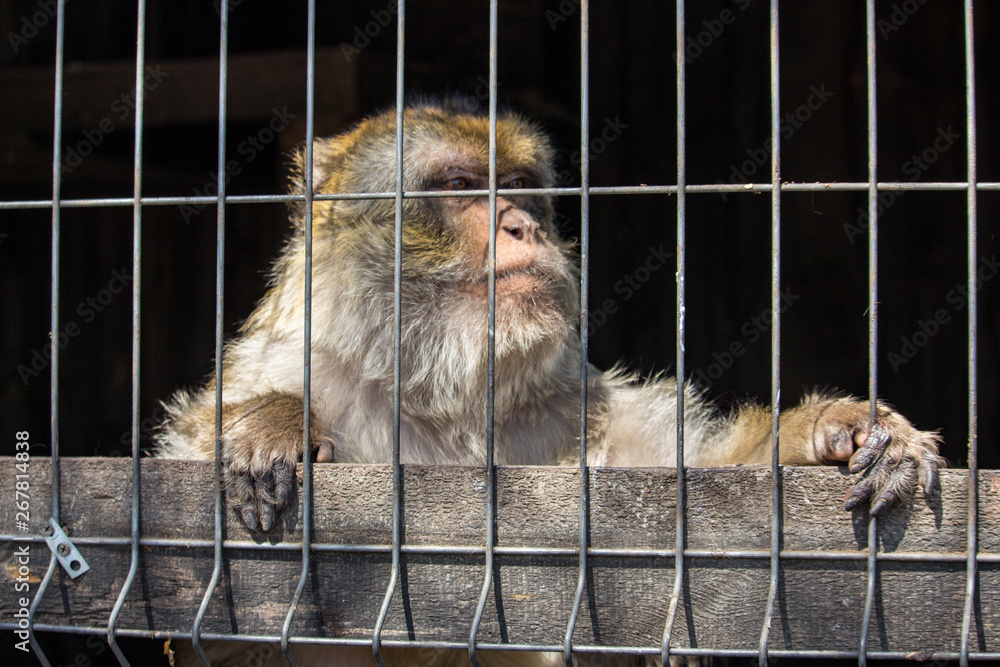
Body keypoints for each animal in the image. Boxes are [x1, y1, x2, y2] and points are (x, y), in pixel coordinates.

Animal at [155, 101, 944, 667]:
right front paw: (276, 426)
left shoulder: (583, 406)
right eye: (461, 188)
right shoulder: (291, 358)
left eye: (522, 189)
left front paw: (841, 431)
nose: (522, 227)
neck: (445, 390)